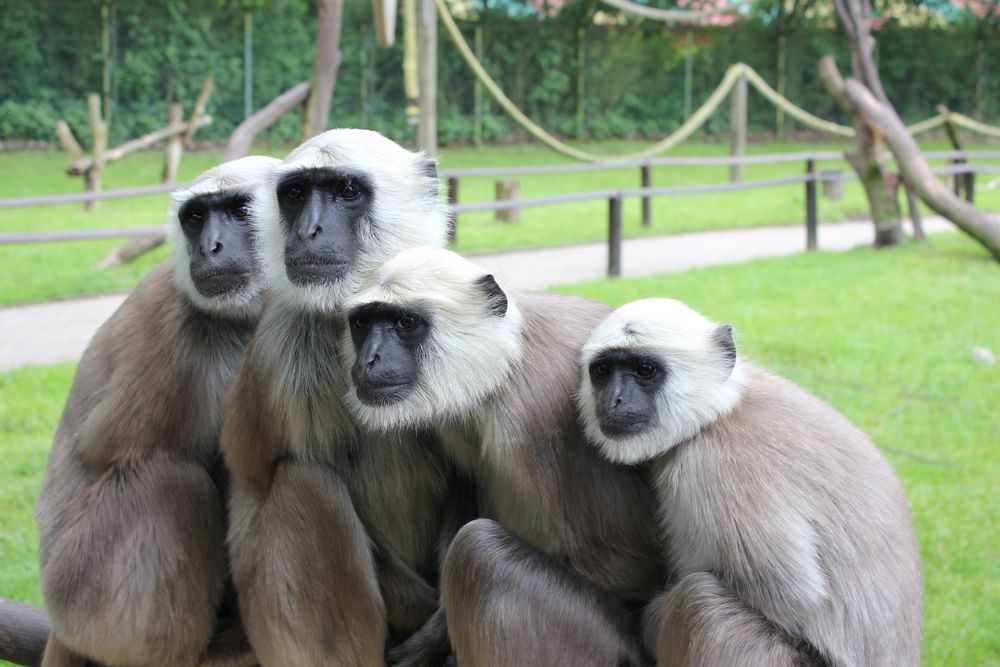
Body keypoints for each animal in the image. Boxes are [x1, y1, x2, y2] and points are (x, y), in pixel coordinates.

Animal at [34, 155, 280, 667]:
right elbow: (108, 448)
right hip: (77, 590)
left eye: (237, 210)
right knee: (168, 478)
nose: (210, 247)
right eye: (196, 218)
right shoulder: (170, 322)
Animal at [341, 246, 666, 667]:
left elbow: (632, 566)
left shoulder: (542, 414)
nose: (369, 360)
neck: (509, 360)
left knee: (481, 553)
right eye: (363, 323)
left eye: (406, 322)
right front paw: (433, 637)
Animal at [576, 298, 924, 667]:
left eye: (644, 369)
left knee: (700, 602)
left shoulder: (716, 465)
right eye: (603, 371)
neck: (720, 415)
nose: (614, 400)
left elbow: (787, 595)